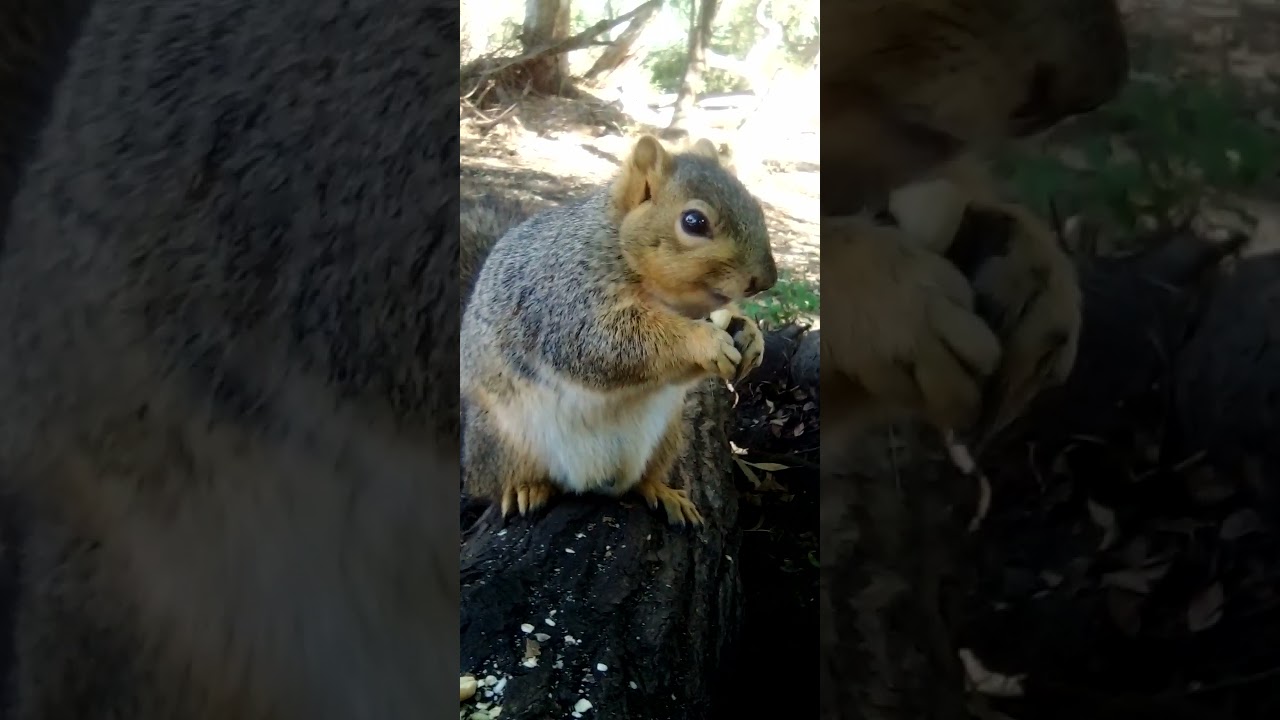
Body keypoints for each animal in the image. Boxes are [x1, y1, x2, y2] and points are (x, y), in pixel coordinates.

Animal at [460, 134, 777, 526]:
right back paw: (525, 488)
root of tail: (590, 479)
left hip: (666, 438)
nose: (766, 280)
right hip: (501, 440)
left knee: (640, 481)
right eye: (694, 221)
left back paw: (662, 492)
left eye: (755, 205)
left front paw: (750, 335)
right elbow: (606, 344)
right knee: (496, 480)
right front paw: (704, 342)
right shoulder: (566, 299)